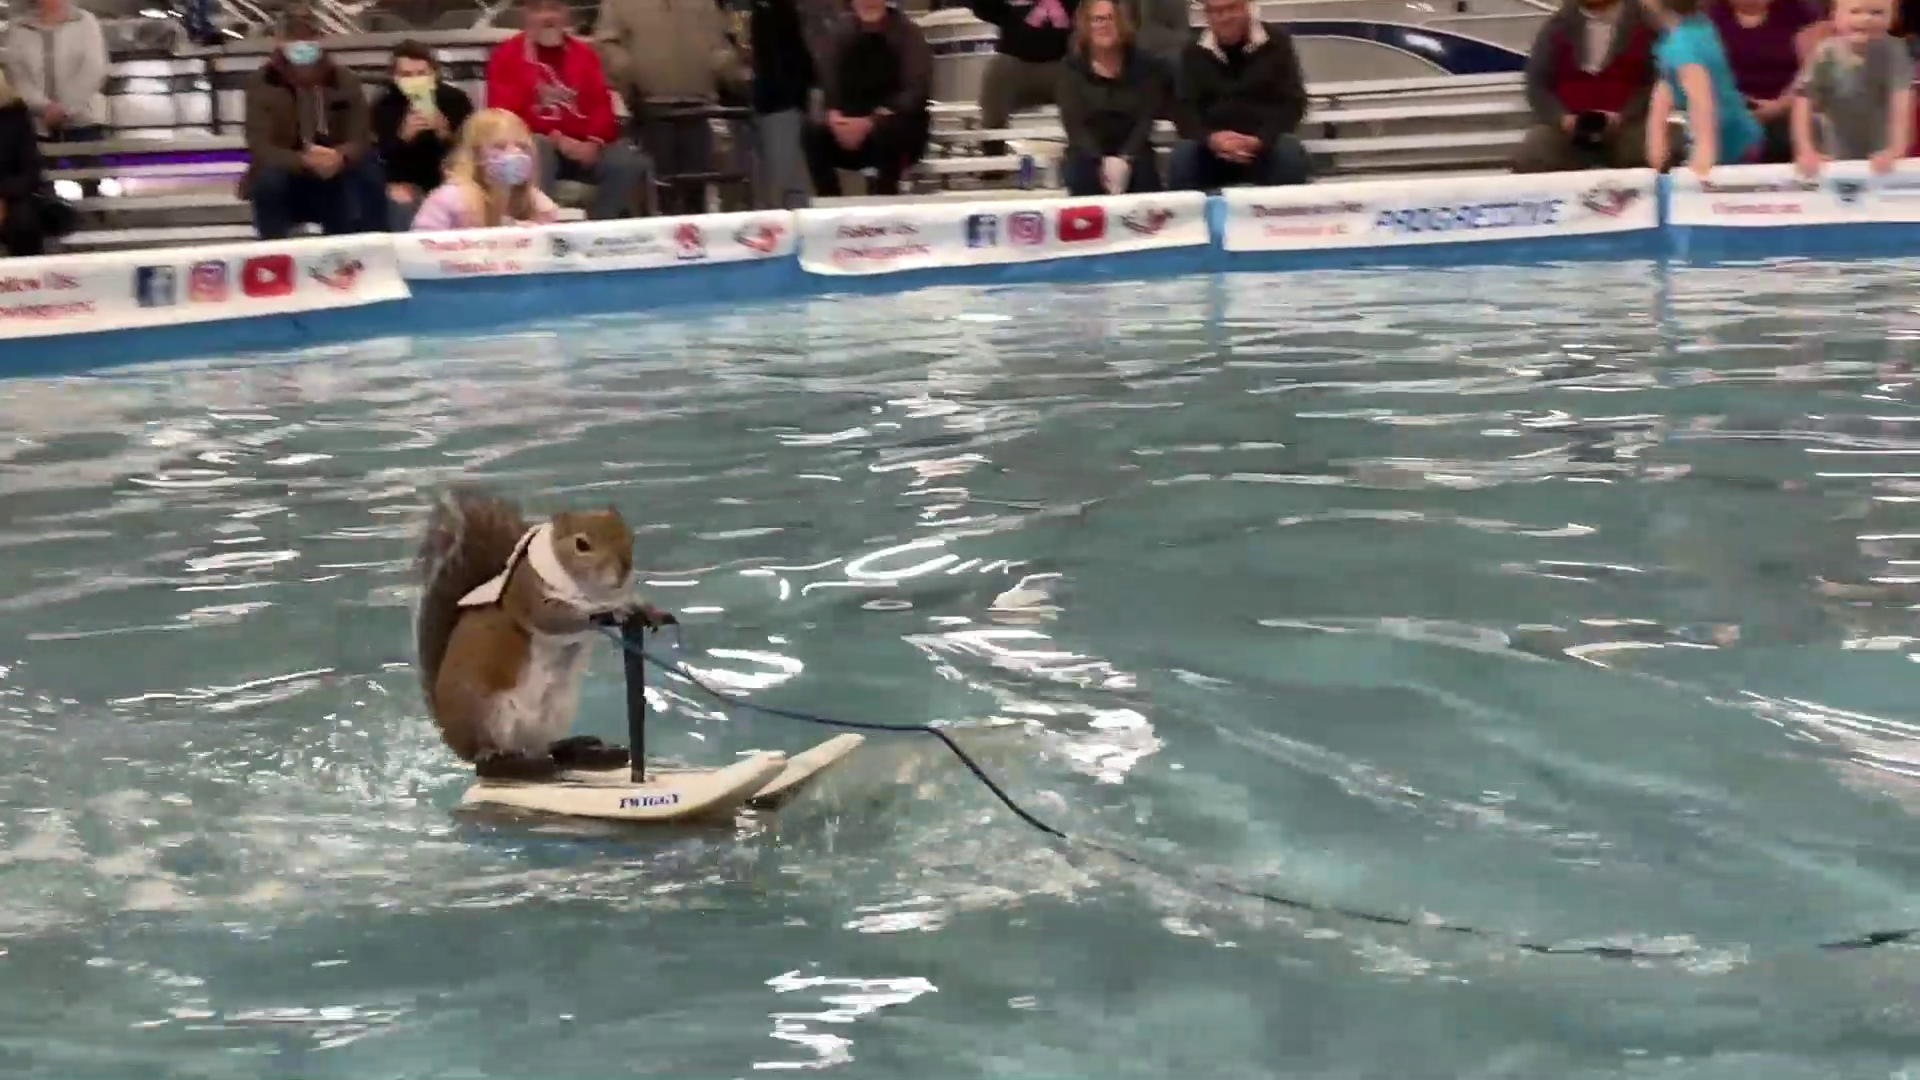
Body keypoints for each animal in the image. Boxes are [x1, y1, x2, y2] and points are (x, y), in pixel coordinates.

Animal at [412, 486, 673, 781]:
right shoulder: (531, 597)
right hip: (489, 715)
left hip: (556, 712)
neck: (589, 589)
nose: (624, 570)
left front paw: (645, 608)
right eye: (581, 544)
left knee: (546, 747)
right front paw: (614, 609)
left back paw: (581, 748)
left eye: (630, 536)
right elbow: (557, 619)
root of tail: (453, 739)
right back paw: (504, 759)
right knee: (488, 757)